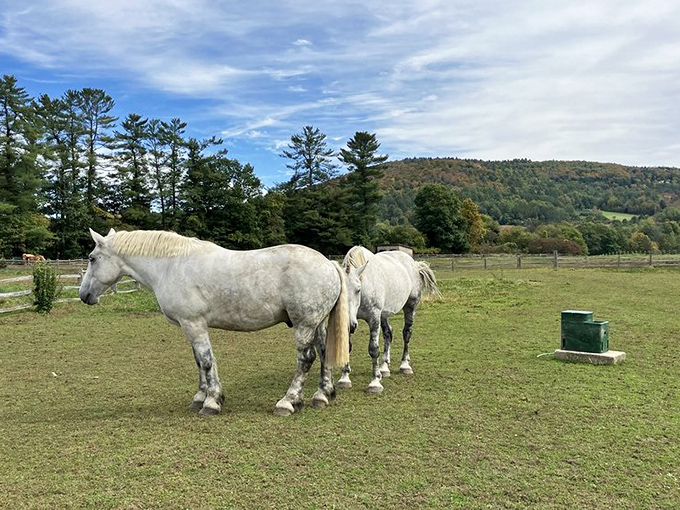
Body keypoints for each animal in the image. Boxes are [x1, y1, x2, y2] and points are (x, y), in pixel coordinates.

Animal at [78, 228, 350, 416]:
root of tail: (328, 263)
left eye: (92, 258)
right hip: (318, 324)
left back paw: (288, 401)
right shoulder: (190, 326)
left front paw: (211, 401)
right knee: (324, 353)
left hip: (304, 325)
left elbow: (207, 361)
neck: (171, 266)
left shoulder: (194, 324)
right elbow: (199, 361)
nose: (84, 295)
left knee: (306, 359)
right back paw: (322, 395)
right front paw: (201, 396)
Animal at [340, 246, 440, 393]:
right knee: (388, 334)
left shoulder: (374, 317)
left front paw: (375, 382)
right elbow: (346, 346)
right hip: (384, 315)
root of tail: (414, 264)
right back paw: (384, 367)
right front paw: (344, 378)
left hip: (410, 307)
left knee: (407, 334)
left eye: (358, 289)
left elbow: (373, 349)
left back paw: (404, 365)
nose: (350, 325)